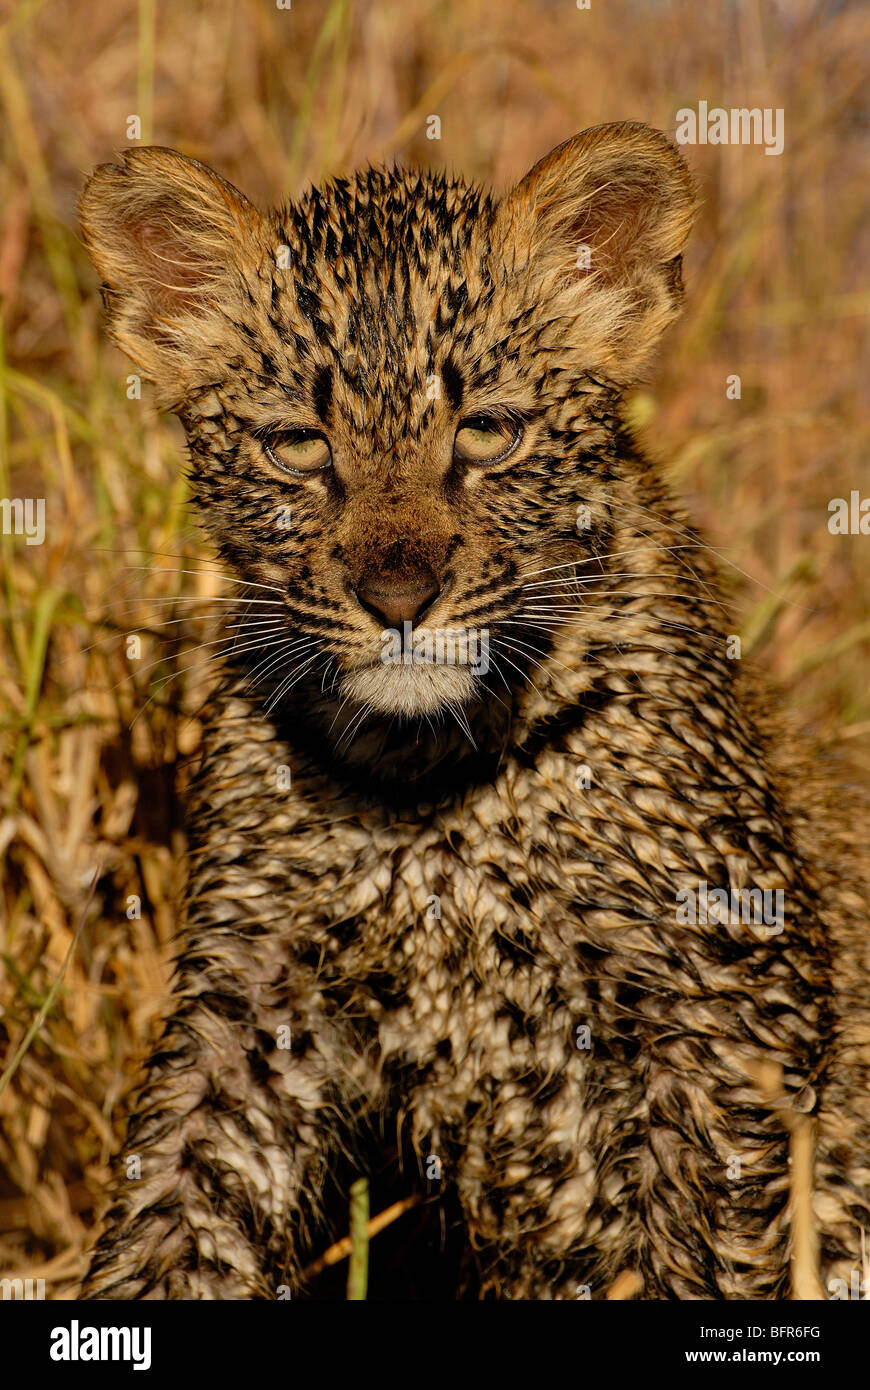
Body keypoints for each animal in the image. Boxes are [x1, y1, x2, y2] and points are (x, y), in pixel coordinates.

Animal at [77, 121, 870, 1300]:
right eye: (297, 445)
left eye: (490, 431)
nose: (399, 597)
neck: (422, 776)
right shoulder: (247, 1002)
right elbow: (172, 1206)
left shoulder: (724, 1011)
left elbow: (704, 1250)